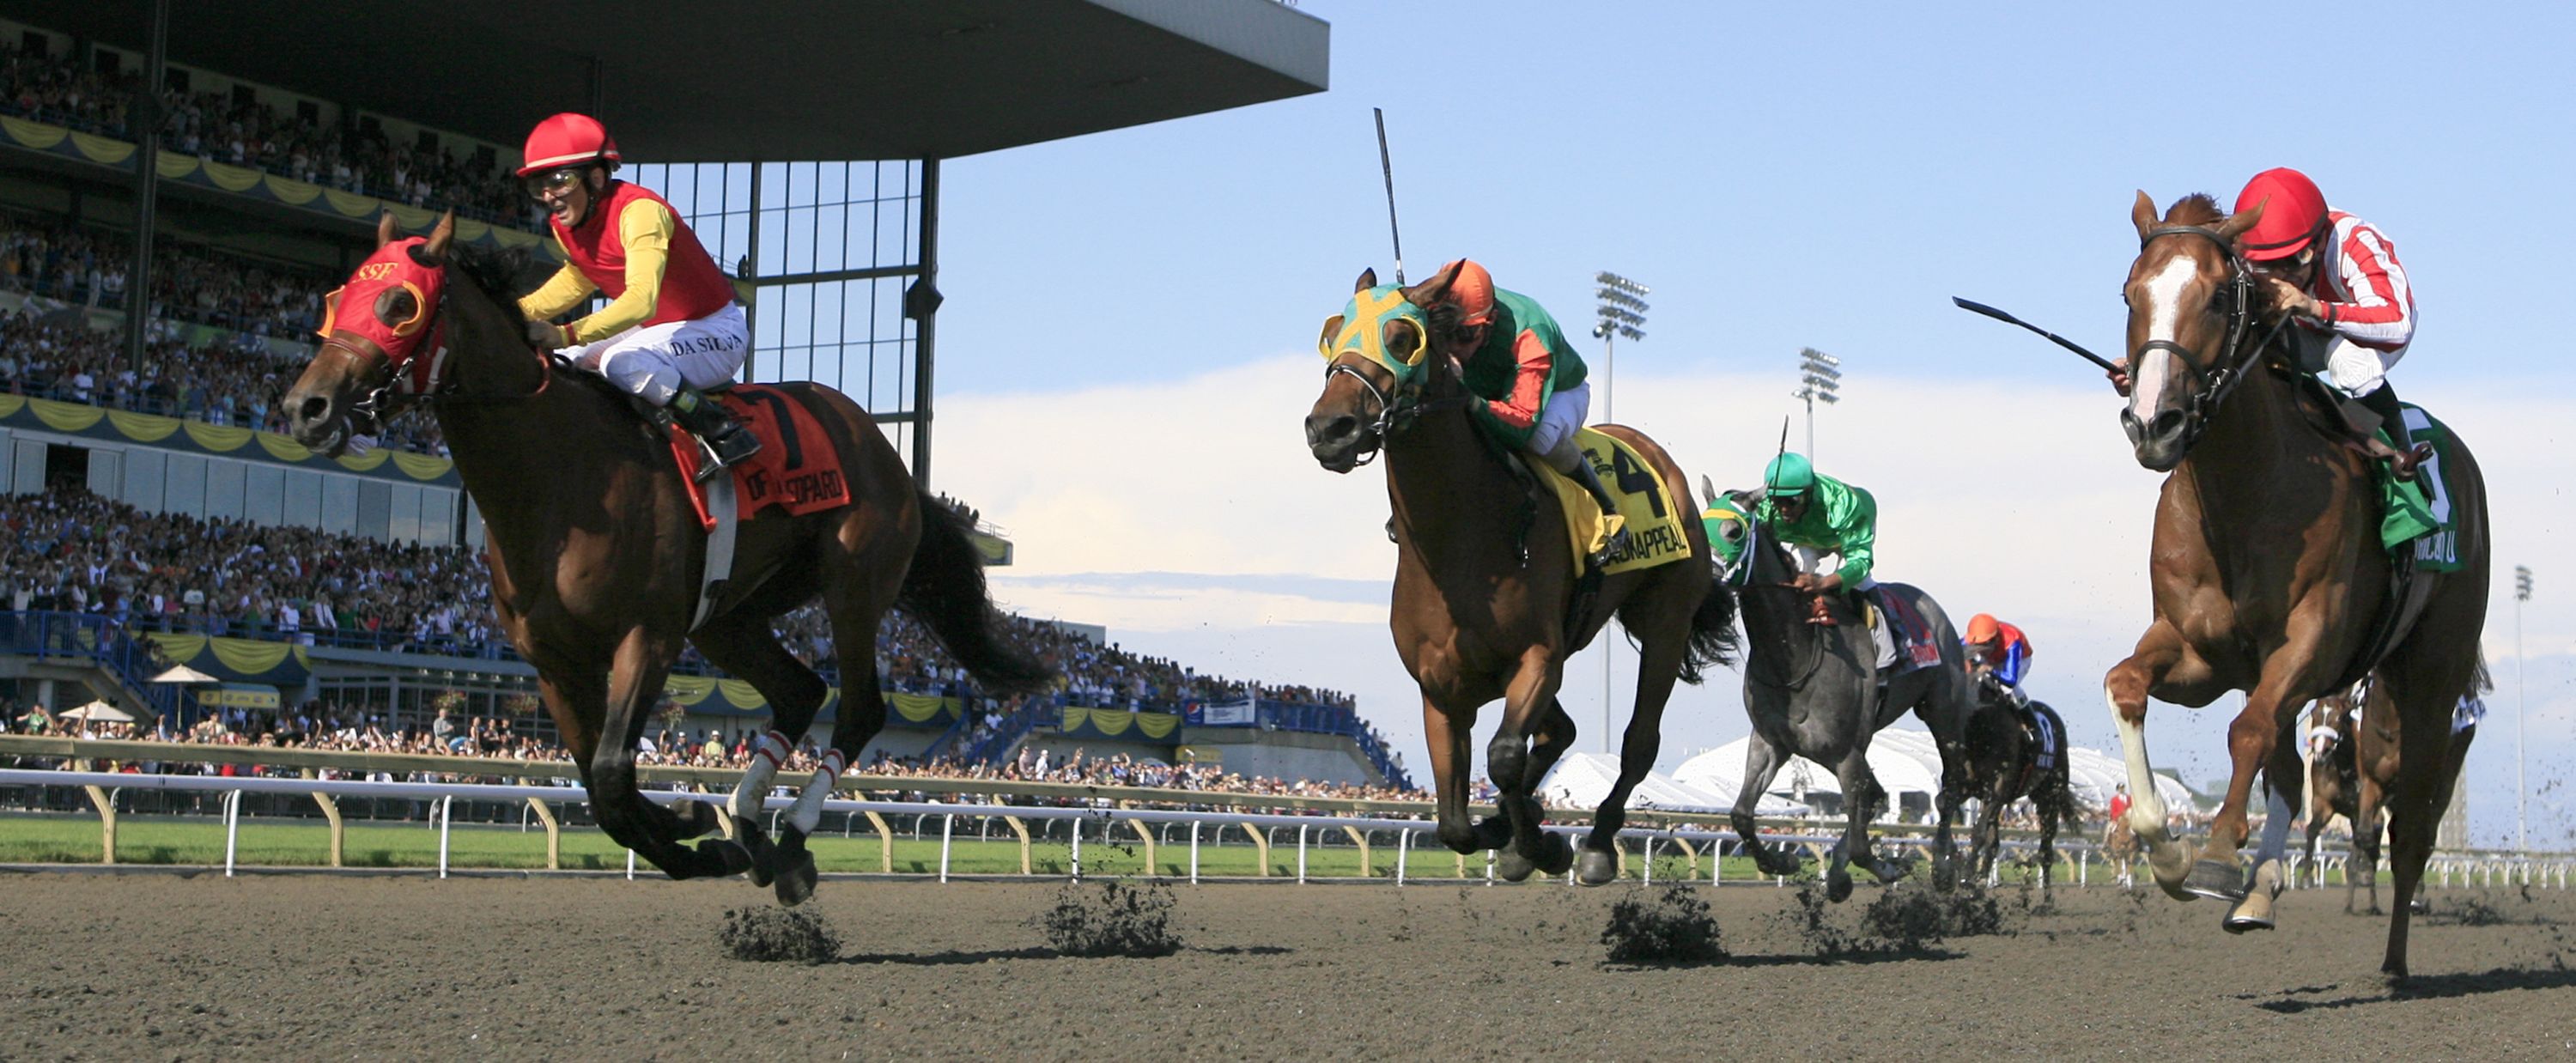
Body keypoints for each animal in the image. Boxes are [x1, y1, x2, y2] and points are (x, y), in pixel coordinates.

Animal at [283, 212, 1050, 905]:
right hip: (729, 615)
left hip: (854, 582)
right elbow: (603, 789)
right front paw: (694, 826)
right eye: (335, 300)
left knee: (859, 705)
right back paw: (751, 825)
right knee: (801, 691)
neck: (560, 473)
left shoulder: (646, 636)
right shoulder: (554, 662)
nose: (305, 408)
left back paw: (791, 841)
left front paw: (695, 830)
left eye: (399, 304)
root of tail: (888, 452)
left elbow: (613, 772)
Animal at [1302, 263, 1737, 886]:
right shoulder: (1440, 687)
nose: (1329, 428)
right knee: (1563, 732)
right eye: (1333, 334)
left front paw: (1539, 844)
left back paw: (1597, 844)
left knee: (1637, 743)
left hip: (1665, 622)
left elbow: (1504, 756)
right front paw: (1507, 830)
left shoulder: (1537, 656)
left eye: (1403, 337)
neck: (1459, 542)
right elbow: (1453, 821)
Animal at [1699, 482, 1974, 901]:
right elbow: (1741, 814)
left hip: (1943, 712)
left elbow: (1863, 841)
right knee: (1876, 794)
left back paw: (1943, 868)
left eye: (1734, 531)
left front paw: (1890, 866)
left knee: (1949, 788)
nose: (1706, 582)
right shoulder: (1771, 743)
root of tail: (1932, 607)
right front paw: (1783, 862)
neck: (1793, 654)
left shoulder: (1846, 754)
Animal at [1960, 681, 2079, 899]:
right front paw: (1975, 881)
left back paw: (2046, 900)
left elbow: (1979, 832)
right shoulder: (1979, 792)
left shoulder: (1997, 791)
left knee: (2046, 851)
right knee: (1995, 842)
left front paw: (1966, 879)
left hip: (2049, 798)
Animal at [2103, 191, 2490, 978]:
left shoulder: (2311, 643)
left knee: (2410, 831)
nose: (2154, 423)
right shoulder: (2200, 651)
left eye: (2217, 295)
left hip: (2434, 678)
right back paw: (2262, 890)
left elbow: (2247, 731)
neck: (2244, 490)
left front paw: (2219, 855)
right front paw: (2170, 852)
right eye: (2131, 293)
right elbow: (2127, 684)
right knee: (2286, 770)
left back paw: (2394, 960)